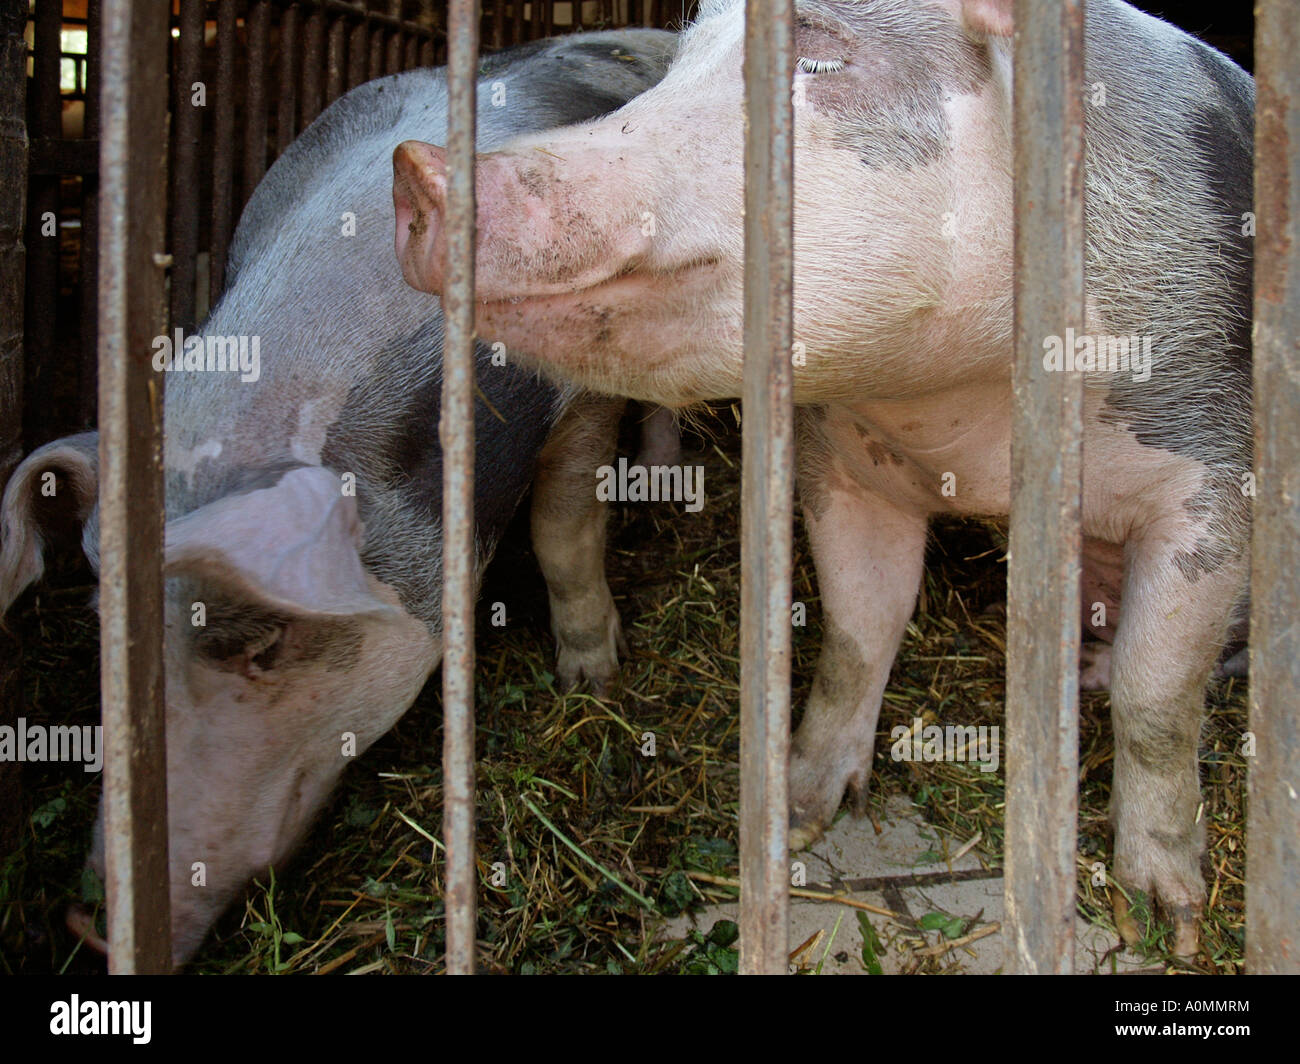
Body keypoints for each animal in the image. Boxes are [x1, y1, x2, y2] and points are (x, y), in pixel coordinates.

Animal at [0, 28, 678, 966]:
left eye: (263, 643)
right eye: (111, 637)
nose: (87, 928)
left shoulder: (580, 397)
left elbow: (564, 527)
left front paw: (591, 682)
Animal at [392, 0, 1254, 957]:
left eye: (818, 53)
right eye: (680, 62)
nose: (418, 170)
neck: (972, 434)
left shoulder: (1209, 468)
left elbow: (1157, 700)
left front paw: (1167, 921)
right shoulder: (845, 466)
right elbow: (856, 632)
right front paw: (799, 815)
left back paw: (1094, 681)